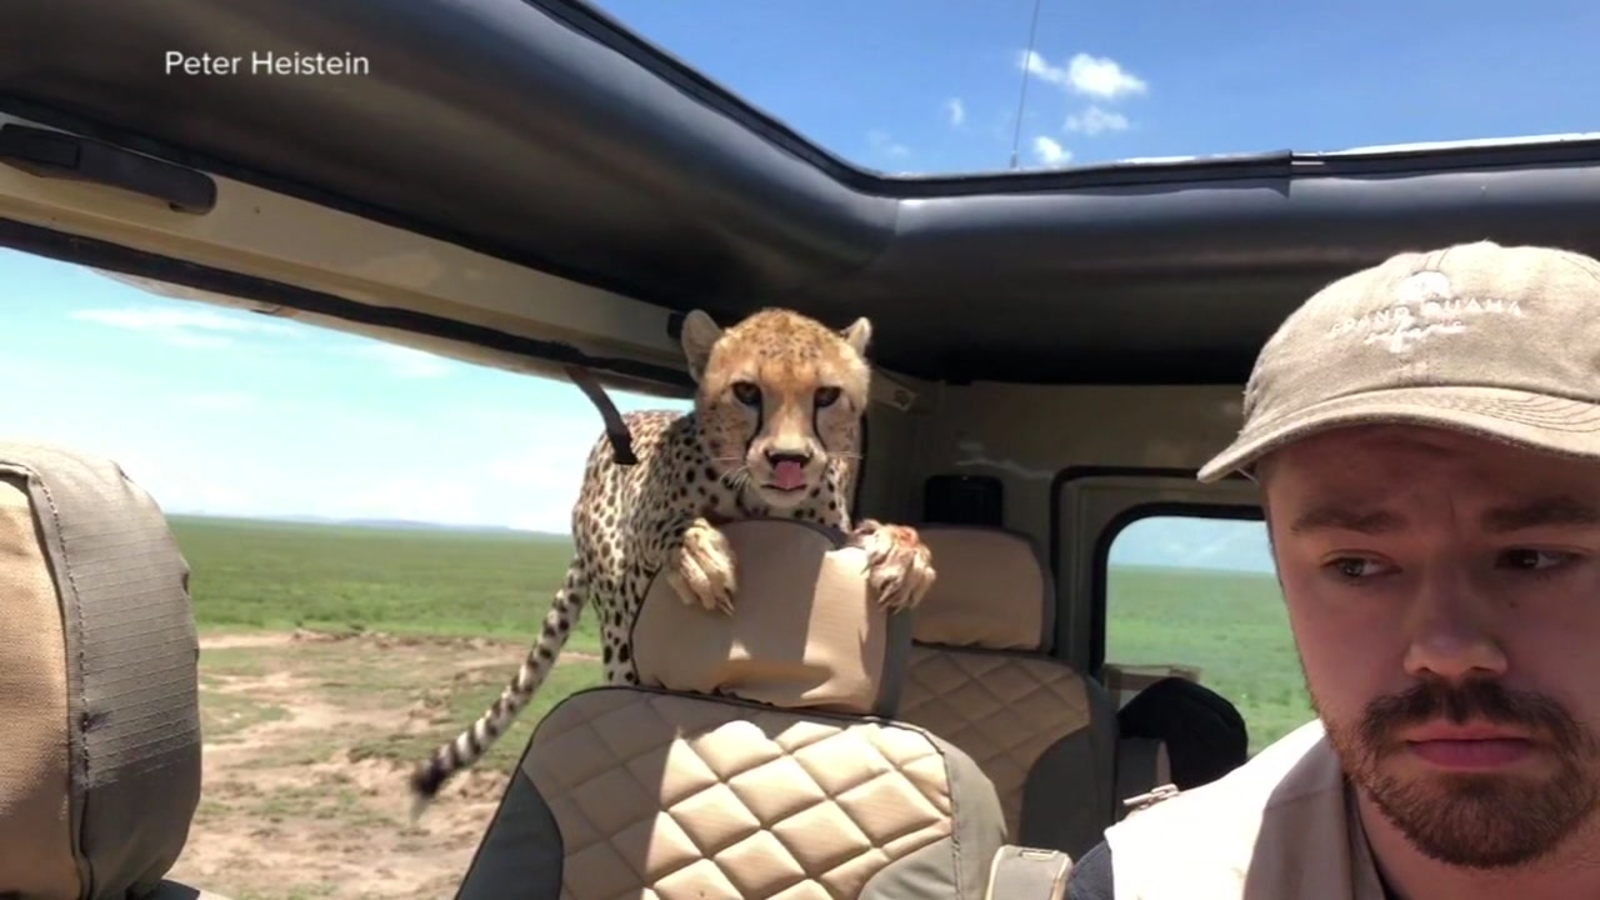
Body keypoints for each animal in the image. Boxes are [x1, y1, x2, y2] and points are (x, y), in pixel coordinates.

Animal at [406, 306, 937, 817]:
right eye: (747, 392)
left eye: (826, 395)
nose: (789, 460)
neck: (761, 503)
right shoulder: (643, 548)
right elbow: (666, 528)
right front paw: (698, 557)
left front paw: (905, 554)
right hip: (618, 630)